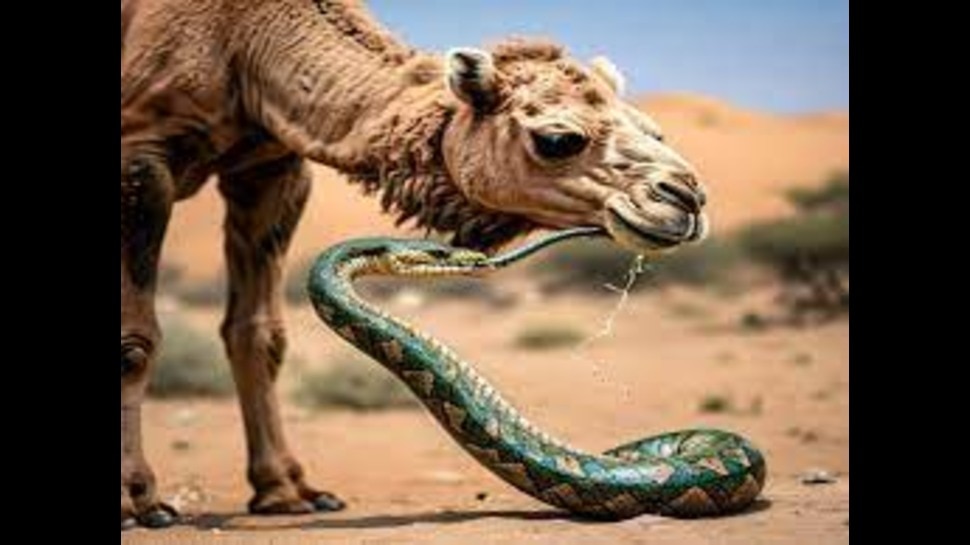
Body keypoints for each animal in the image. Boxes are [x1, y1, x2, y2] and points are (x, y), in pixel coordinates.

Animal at [121, 0, 709, 529]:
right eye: (558, 139)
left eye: (653, 130)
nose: (689, 198)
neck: (245, 42)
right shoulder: (140, 155)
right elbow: (136, 341)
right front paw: (138, 503)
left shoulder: (271, 167)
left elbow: (259, 334)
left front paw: (287, 492)